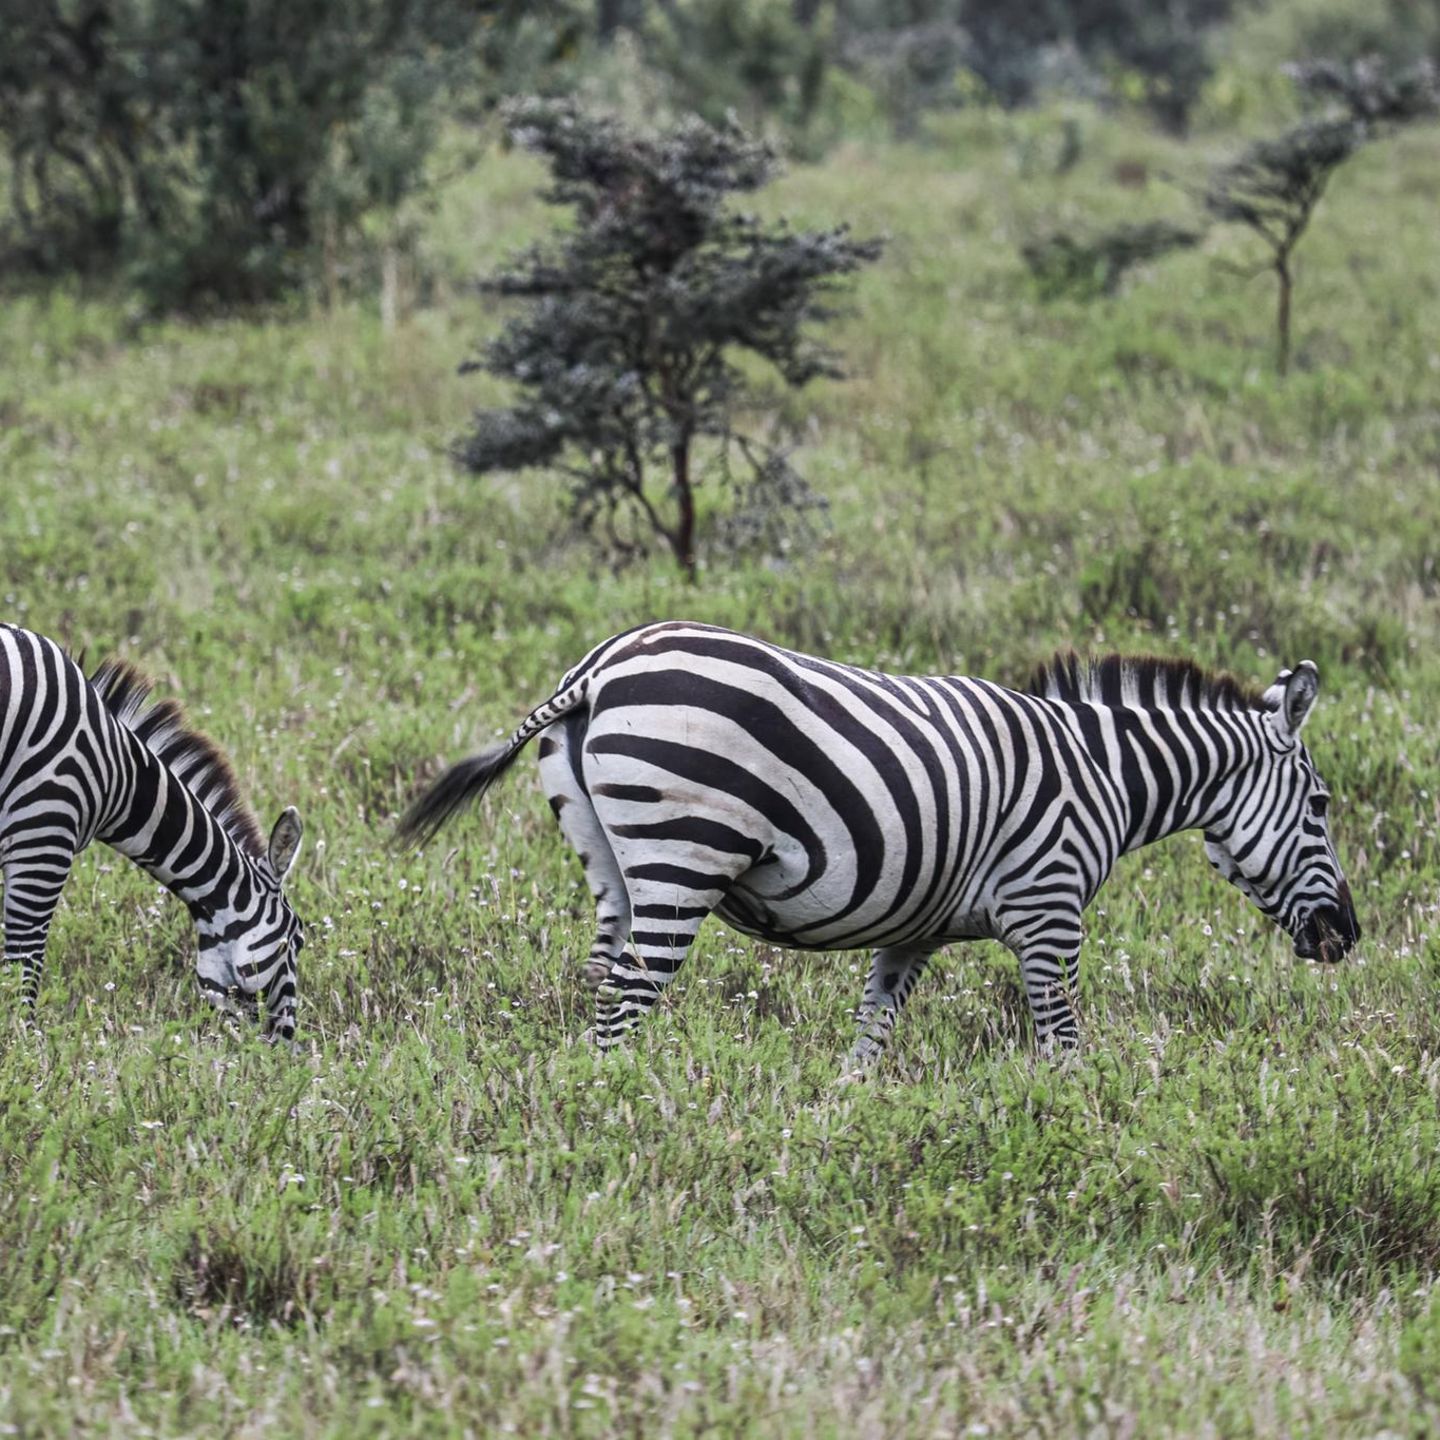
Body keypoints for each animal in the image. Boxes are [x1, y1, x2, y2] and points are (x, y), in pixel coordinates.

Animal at [0, 624, 305, 1038]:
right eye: (297, 941)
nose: (292, 1044)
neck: (120, 778)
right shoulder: (43, 838)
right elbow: (23, 965)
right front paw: (24, 1044)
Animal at [398, 621, 1358, 1069]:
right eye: (1320, 804)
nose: (1347, 938)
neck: (1105, 775)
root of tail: (596, 669)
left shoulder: (913, 929)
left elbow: (871, 1036)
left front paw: (847, 1126)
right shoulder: (1049, 914)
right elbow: (1064, 1046)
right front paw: (1081, 1134)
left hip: (609, 859)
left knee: (601, 978)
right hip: (683, 853)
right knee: (627, 999)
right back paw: (617, 1118)